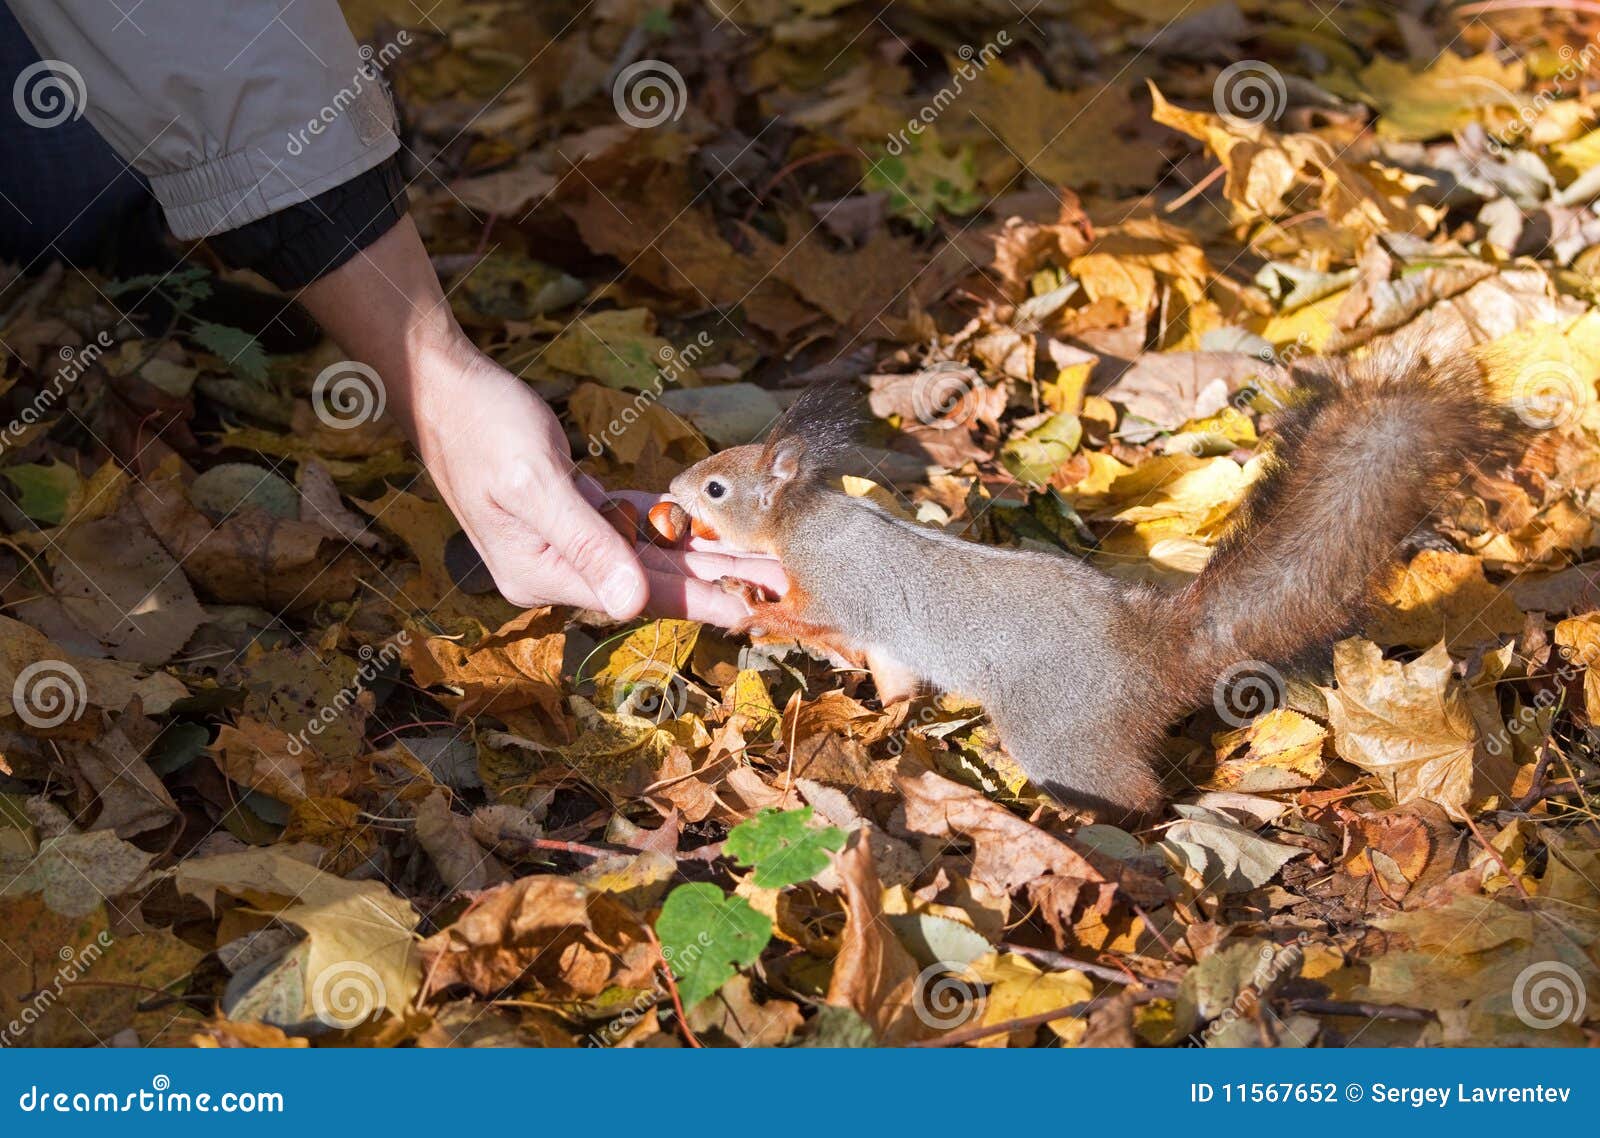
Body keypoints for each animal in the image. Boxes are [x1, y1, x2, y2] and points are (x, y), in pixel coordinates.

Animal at [664, 340, 1517, 824]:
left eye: (717, 488)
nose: (671, 490)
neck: (803, 517)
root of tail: (1152, 655)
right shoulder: (891, 648)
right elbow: (891, 676)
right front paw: (880, 720)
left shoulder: (839, 580)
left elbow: (817, 615)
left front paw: (757, 608)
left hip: (1060, 730)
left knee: (1131, 792)